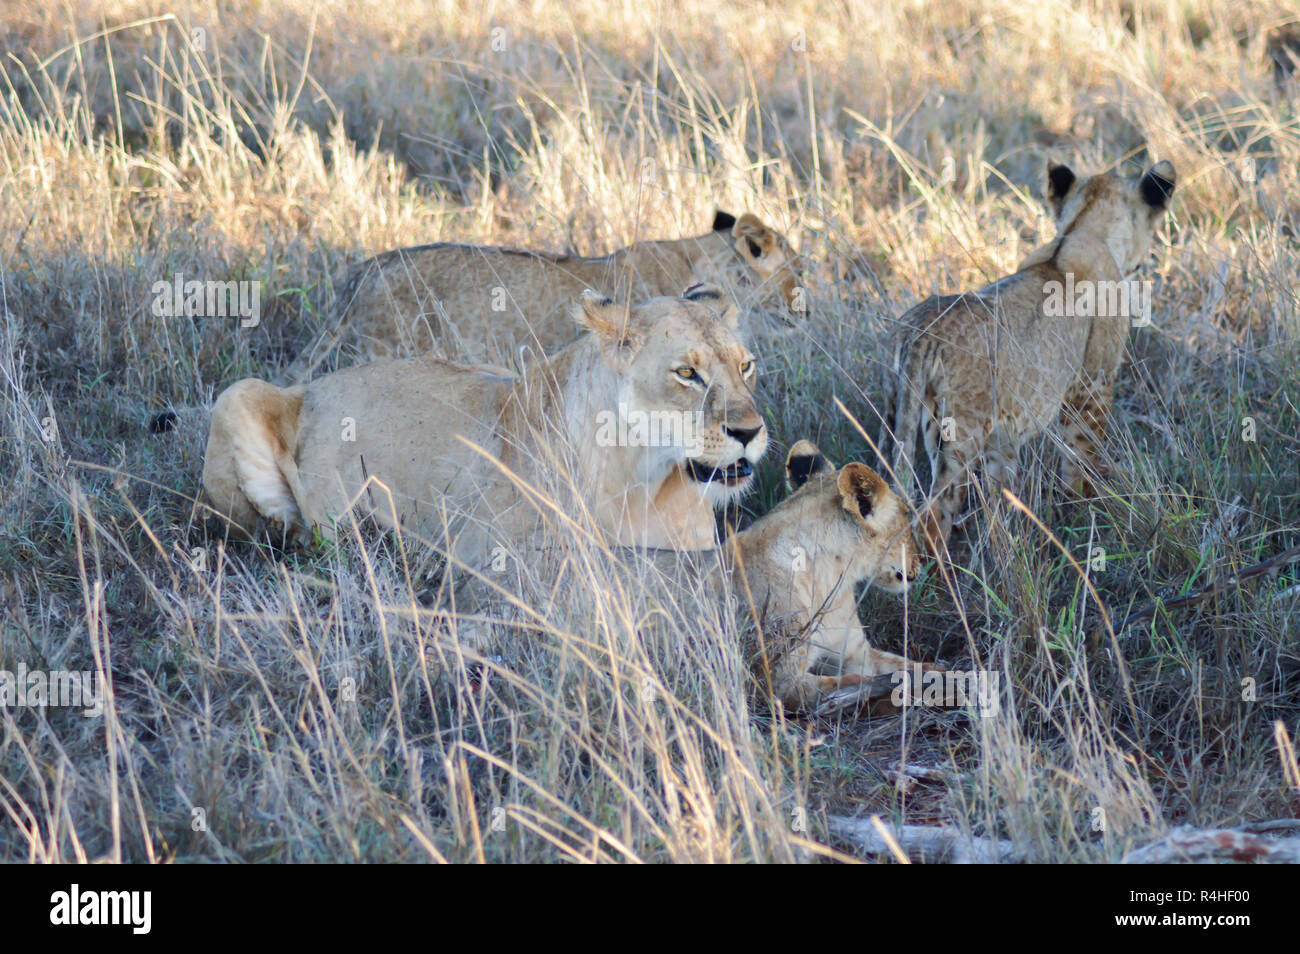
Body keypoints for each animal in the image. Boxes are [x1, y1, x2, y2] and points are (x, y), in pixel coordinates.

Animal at [200, 283, 768, 576]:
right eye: (687, 374)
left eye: (746, 366)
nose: (750, 431)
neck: (653, 487)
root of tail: (312, 386)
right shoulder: (494, 555)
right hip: (237, 395)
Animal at [889, 159, 1177, 551]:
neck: (1084, 229)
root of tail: (922, 330)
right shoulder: (1091, 389)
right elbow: (1080, 461)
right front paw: (1078, 517)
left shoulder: (1004, 438)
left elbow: (1003, 490)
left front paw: (1007, 543)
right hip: (962, 433)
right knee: (933, 518)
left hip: (921, 418)